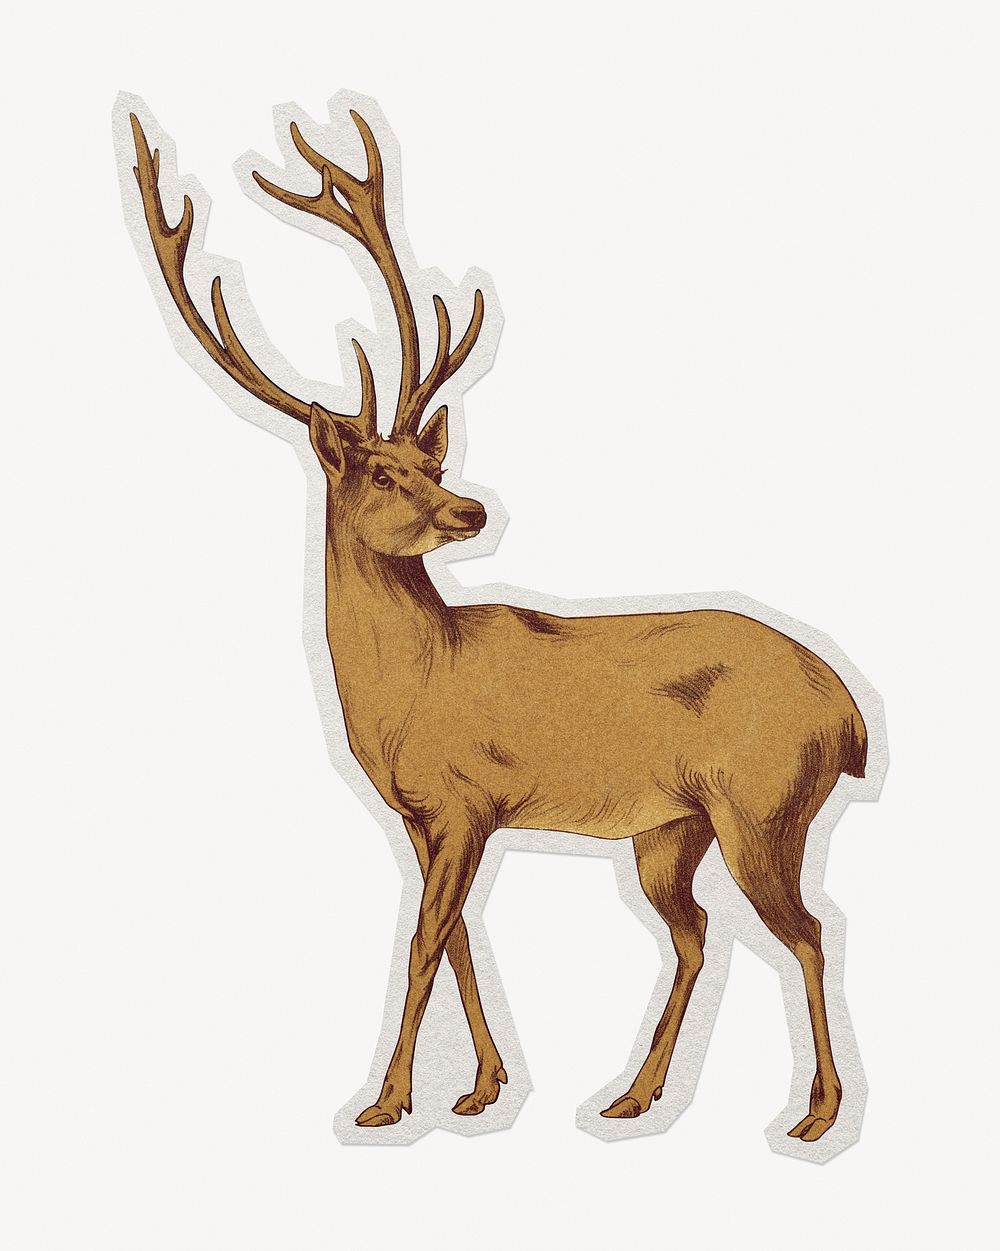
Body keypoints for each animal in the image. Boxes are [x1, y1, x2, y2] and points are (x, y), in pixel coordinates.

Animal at [122, 96, 874, 1147]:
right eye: (385, 471)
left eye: (431, 464)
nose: (470, 510)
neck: (406, 690)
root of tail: (852, 719)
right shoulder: (421, 814)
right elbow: (457, 937)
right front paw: (481, 1086)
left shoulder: (467, 797)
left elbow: (422, 939)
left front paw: (386, 1098)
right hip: (671, 828)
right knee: (697, 934)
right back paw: (632, 1093)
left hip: (762, 804)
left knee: (809, 929)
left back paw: (817, 1112)